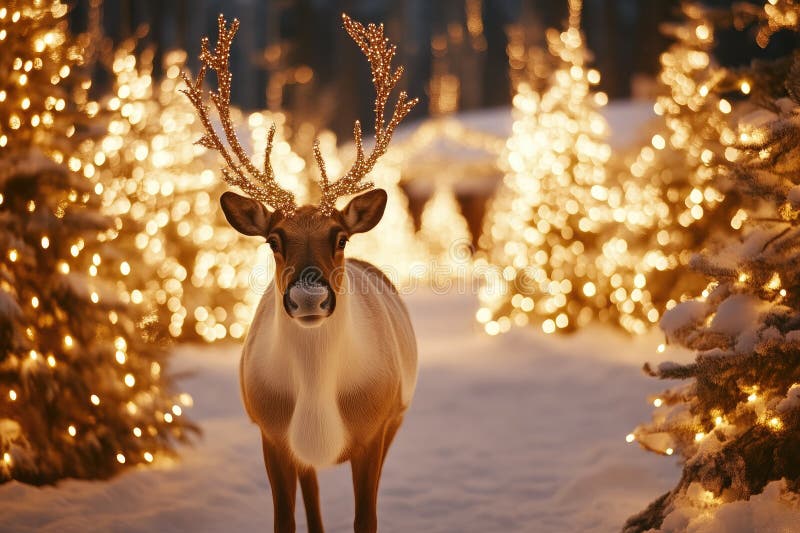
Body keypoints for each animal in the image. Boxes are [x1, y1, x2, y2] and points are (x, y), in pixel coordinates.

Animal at [182, 14, 419, 533]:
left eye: (341, 237)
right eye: (274, 239)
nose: (309, 297)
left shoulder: (375, 432)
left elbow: (366, 521)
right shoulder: (272, 437)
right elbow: (288, 521)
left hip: (396, 419)